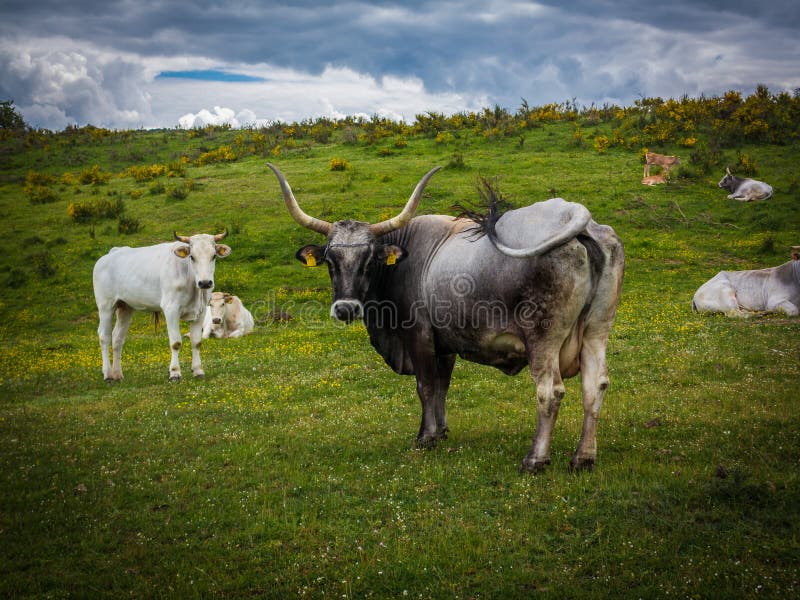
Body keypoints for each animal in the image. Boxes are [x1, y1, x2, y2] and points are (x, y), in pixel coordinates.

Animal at [93, 231, 231, 381]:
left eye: (214, 256)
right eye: (192, 257)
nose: (205, 283)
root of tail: (112, 253)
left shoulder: (200, 311)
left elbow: (196, 342)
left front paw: (198, 370)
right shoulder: (171, 309)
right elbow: (176, 342)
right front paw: (175, 373)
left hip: (125, 307)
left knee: (117, 338)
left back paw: (117, 374)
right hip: (105, 306)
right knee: (104, 336)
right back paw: (108, 374)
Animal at [267, 163, 624, 473]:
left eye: (369, 261)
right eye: (330, 261)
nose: (346, 308)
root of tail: (576, 216)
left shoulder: (419, 336)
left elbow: (425, 386)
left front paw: (426, 437)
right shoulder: (446, 344)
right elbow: (442, 387)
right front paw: (440, 430)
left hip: (543, 338)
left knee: (550, 391)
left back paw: (535, 459)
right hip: (597, 331)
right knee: (595, 385)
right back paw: (583, 458)